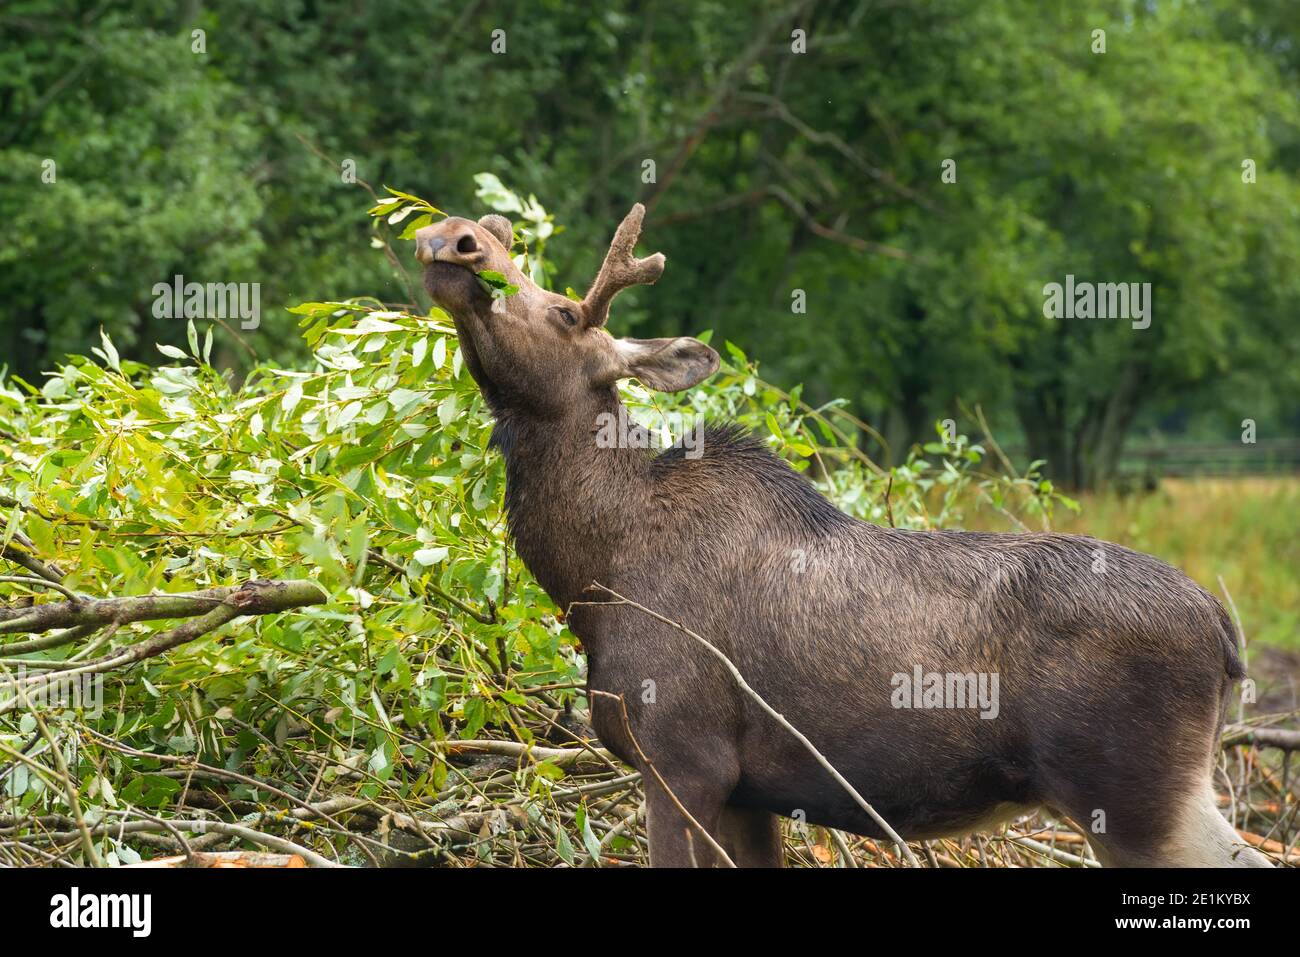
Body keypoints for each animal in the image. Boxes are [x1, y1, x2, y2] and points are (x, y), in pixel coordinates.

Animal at [414, 204, 1269, 868]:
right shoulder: (748, 790)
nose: (457, 236)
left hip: (1131, 793)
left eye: (564, 311)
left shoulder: (681, 756)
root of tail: (1226, 633)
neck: (593, 573)